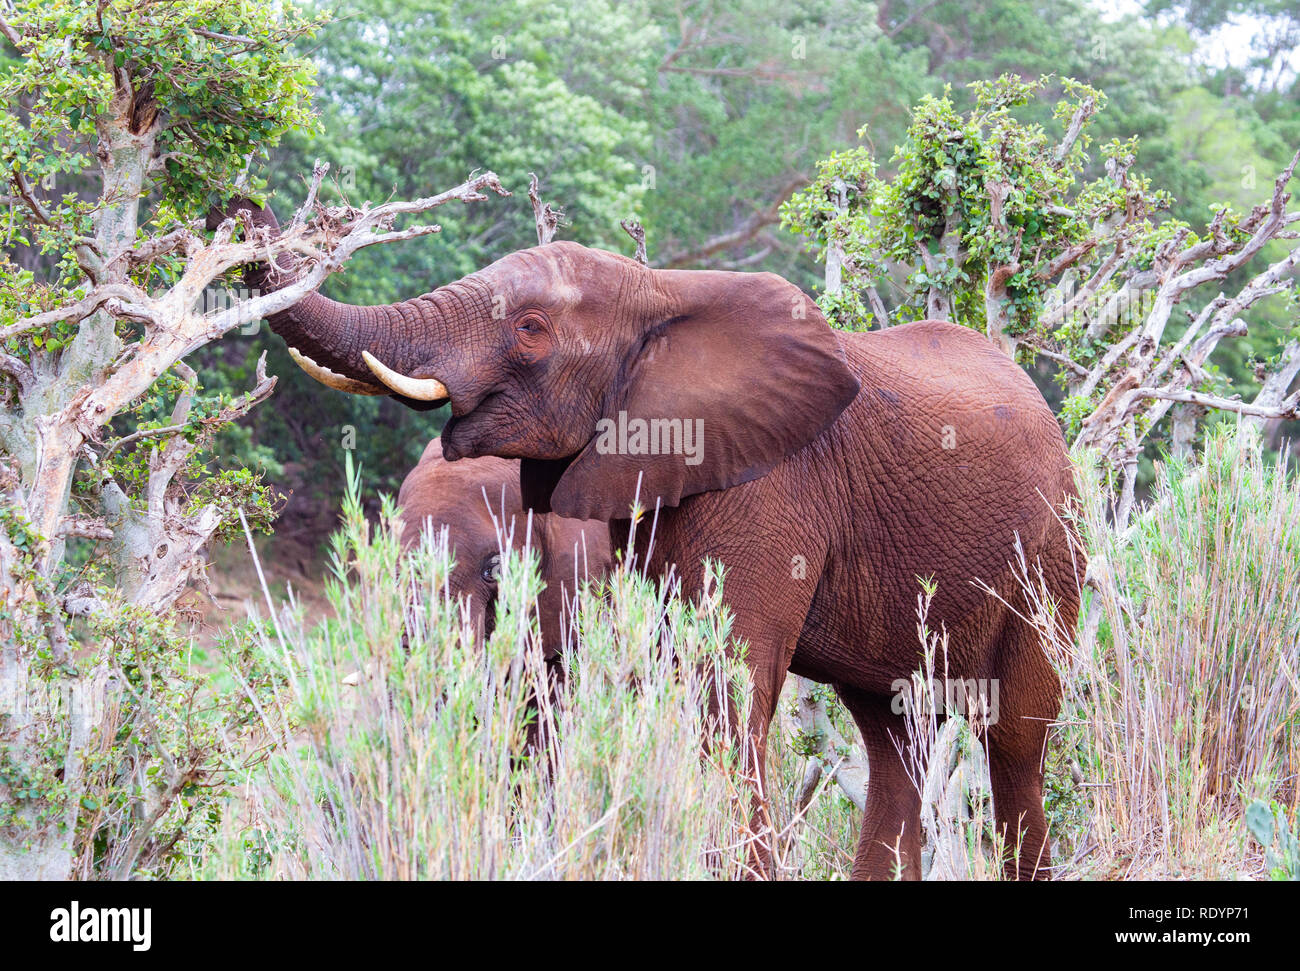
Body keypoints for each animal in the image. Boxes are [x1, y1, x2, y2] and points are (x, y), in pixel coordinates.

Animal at [217, 198, 1080, 881]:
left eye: (530, 329)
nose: (242, 208)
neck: (660, 291)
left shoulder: (767, 486)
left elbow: (724, 689)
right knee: (892, 735)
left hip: (1052, 552)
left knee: (1014, 737)